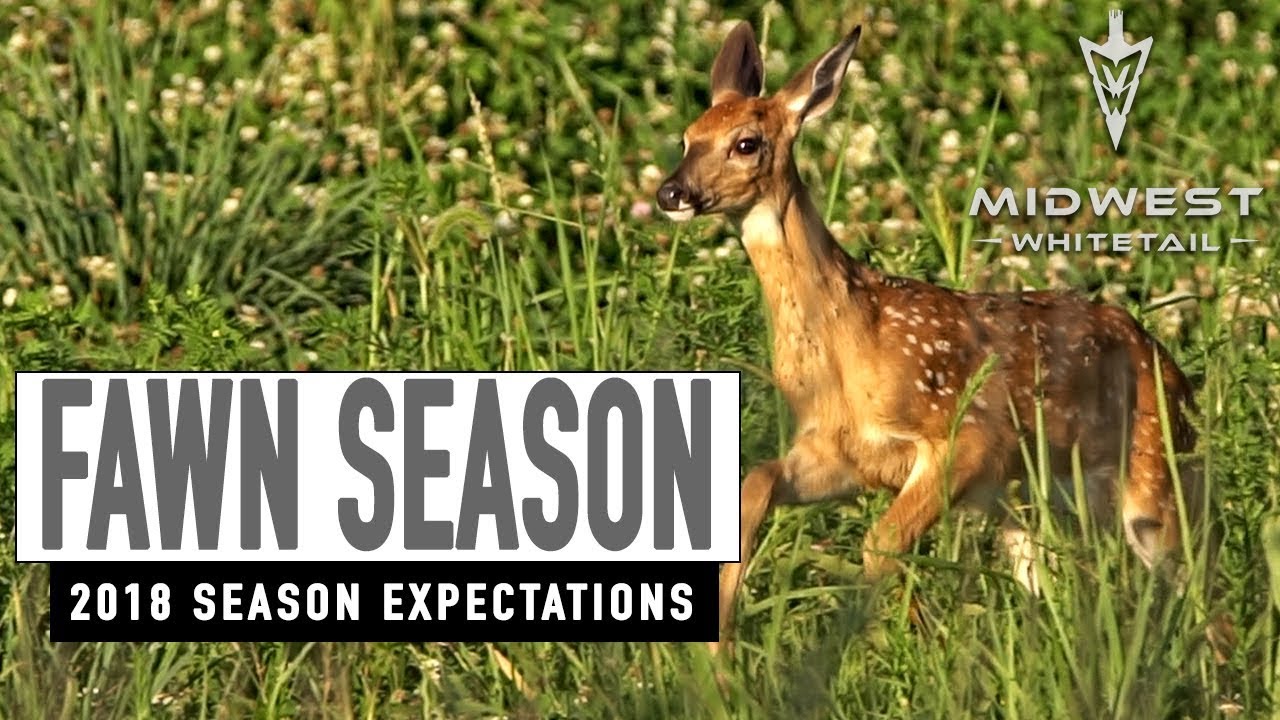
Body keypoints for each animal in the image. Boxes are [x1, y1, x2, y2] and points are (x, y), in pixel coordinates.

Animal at [654, 20, 1204, 657]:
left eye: (746, 143)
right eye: (687, 137)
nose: (671, 193)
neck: (852, 344)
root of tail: (1172, 369)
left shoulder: (967, 437)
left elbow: (880, 542)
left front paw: (877, 651)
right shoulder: (843, 453)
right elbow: (755, 484)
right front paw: (720, 655)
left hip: (1153, 476)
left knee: (1200, 582)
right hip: (1033, 503)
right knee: (1052, 585)